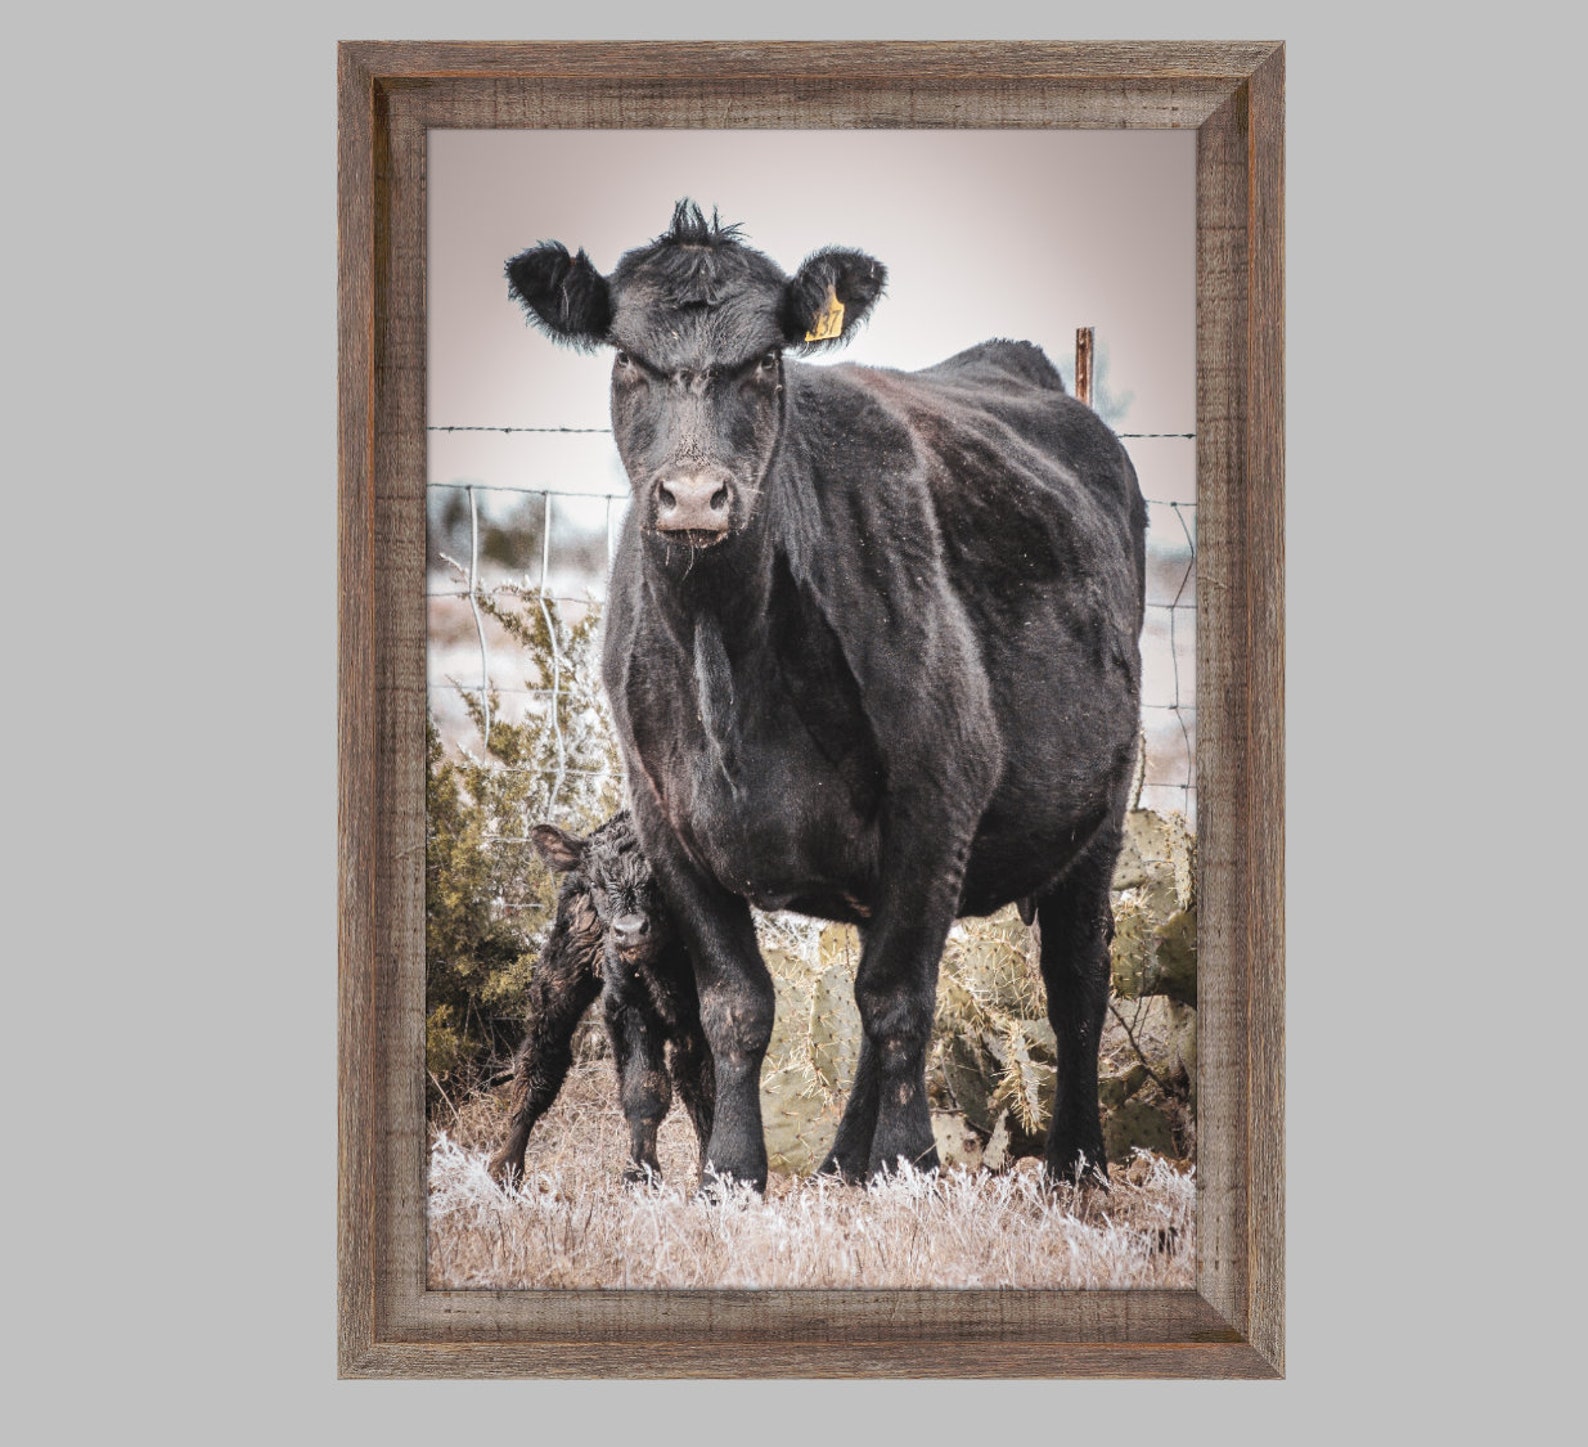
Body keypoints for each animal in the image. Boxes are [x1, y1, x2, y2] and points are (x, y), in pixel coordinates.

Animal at [488, 811, 714, 1188]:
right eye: (596, 883)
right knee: (540, 1060)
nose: (631, 930)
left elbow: (703, 1089)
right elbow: (645, 1088)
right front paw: (639, 1176)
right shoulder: (625, 1008)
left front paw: (716, 1177)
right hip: (559, 978)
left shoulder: (702, 1021)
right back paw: (505, 1170)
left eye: (660, 877)